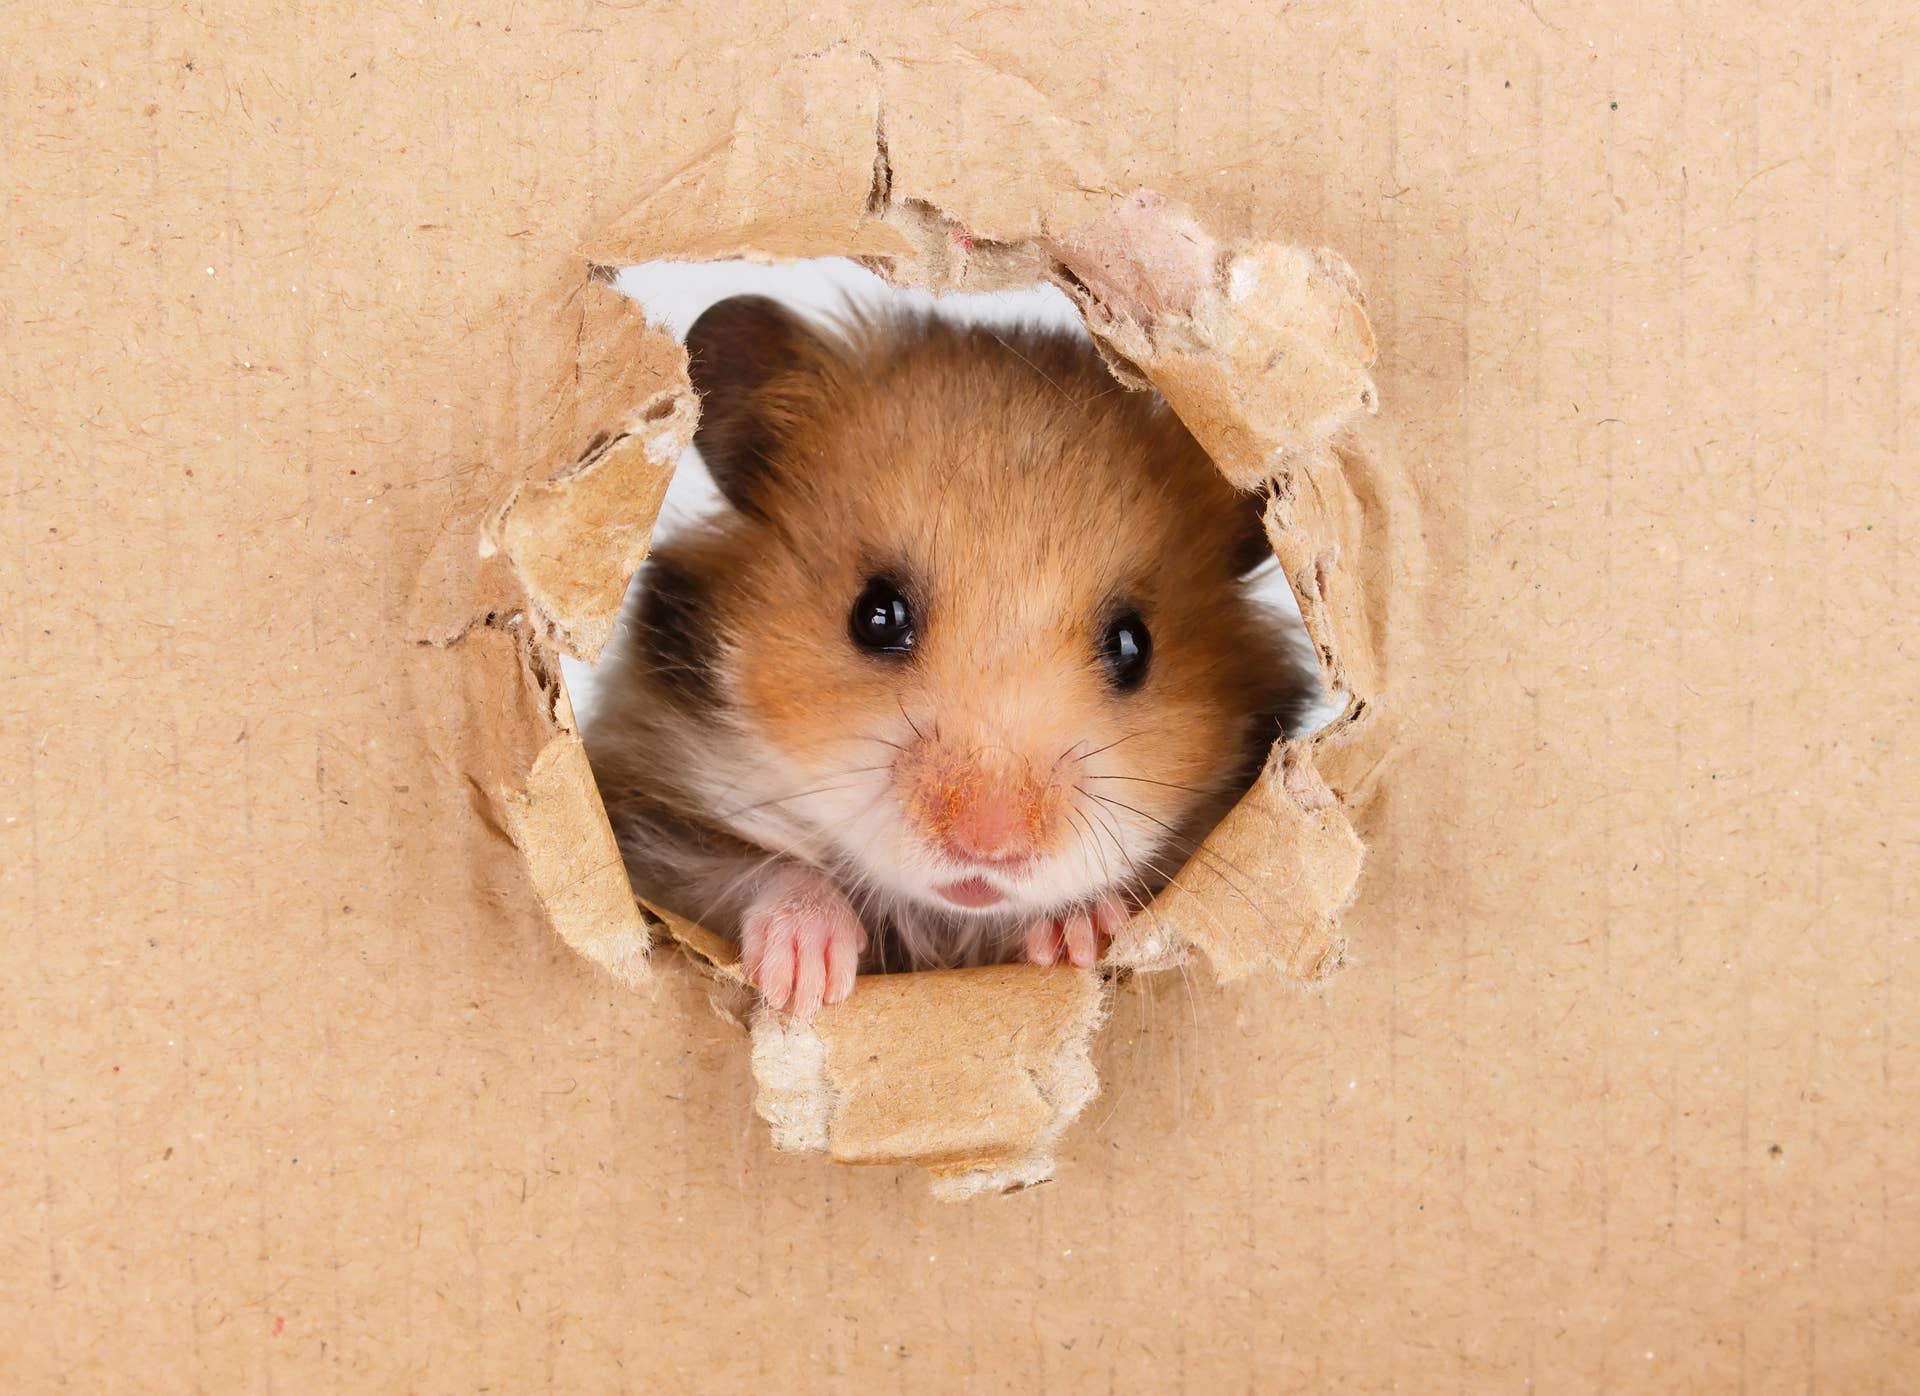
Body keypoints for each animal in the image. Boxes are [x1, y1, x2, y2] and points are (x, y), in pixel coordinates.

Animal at [583, 294, 1316, 1016]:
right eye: (876, 615)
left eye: (1133, 645)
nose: (988, 847)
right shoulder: (650, 823)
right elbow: (757, 868)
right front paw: (808, 978)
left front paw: (1077, 935)